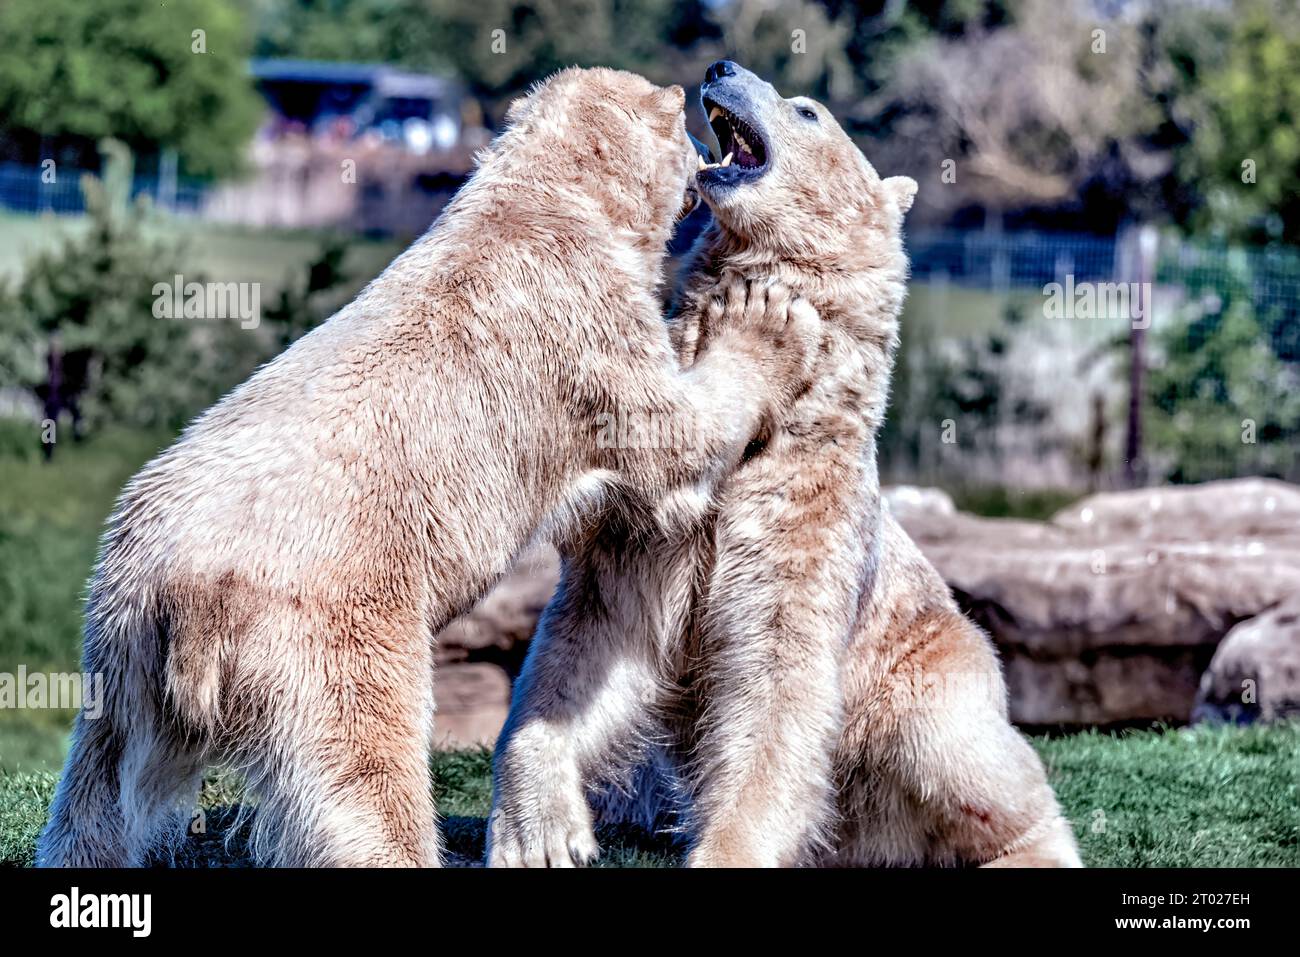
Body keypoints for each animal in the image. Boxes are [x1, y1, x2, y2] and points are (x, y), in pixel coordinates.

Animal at [36, 66, 822, 868]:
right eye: (682, 122)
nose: (706, 93)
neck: (545, 200)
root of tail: (179, 598)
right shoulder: (587, 332)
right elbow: (675, 440)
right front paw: (768, 320)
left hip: (117, 641)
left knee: (97, 794)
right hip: (328, 633)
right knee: (363, 777)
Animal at [487, 61, 1082, 868]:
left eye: (806, 110)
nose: (721, 69)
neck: (791, 418)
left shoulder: (804, 518)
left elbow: (775, 683)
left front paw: (725, 849)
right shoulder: (647, 534)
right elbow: (596, 641)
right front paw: (539, 830)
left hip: (930, 666)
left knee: (964, 754)